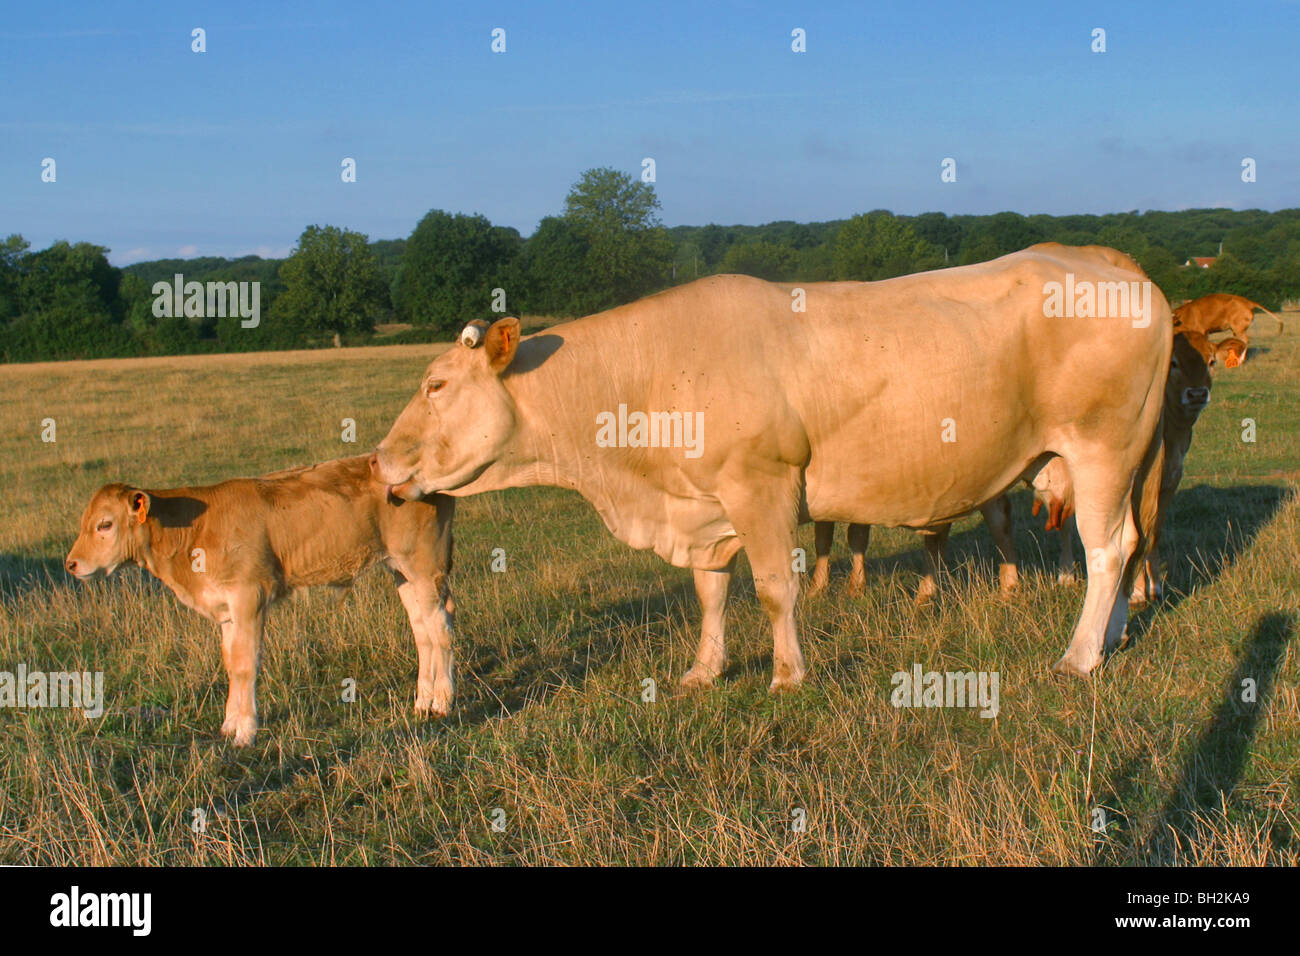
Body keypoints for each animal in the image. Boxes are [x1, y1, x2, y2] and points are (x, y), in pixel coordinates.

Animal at [65, 456, 455, 746]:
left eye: (104, 524)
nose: (71, 564)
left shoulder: (248, 597)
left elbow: (244, 665)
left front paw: (246, 731)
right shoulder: (226, 610)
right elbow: (229, 663)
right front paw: (228, 724)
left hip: (425, 566)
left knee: (441, 629)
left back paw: (443, 701)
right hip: (402, 570)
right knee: (422, 630)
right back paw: (423, 701)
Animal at [374, 246, 1171, 686]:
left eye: (435, 385)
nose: (379, 460)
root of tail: (1118, 269)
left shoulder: (760, 485)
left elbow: (772, 589)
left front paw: (788, 675)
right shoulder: (702, 504)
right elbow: (710, 592)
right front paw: (704, 670)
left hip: (1100, 448)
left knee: (1106, 550)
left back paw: (1078, 657)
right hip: (1124, 456)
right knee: (1132, 544)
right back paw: (1113, 637)